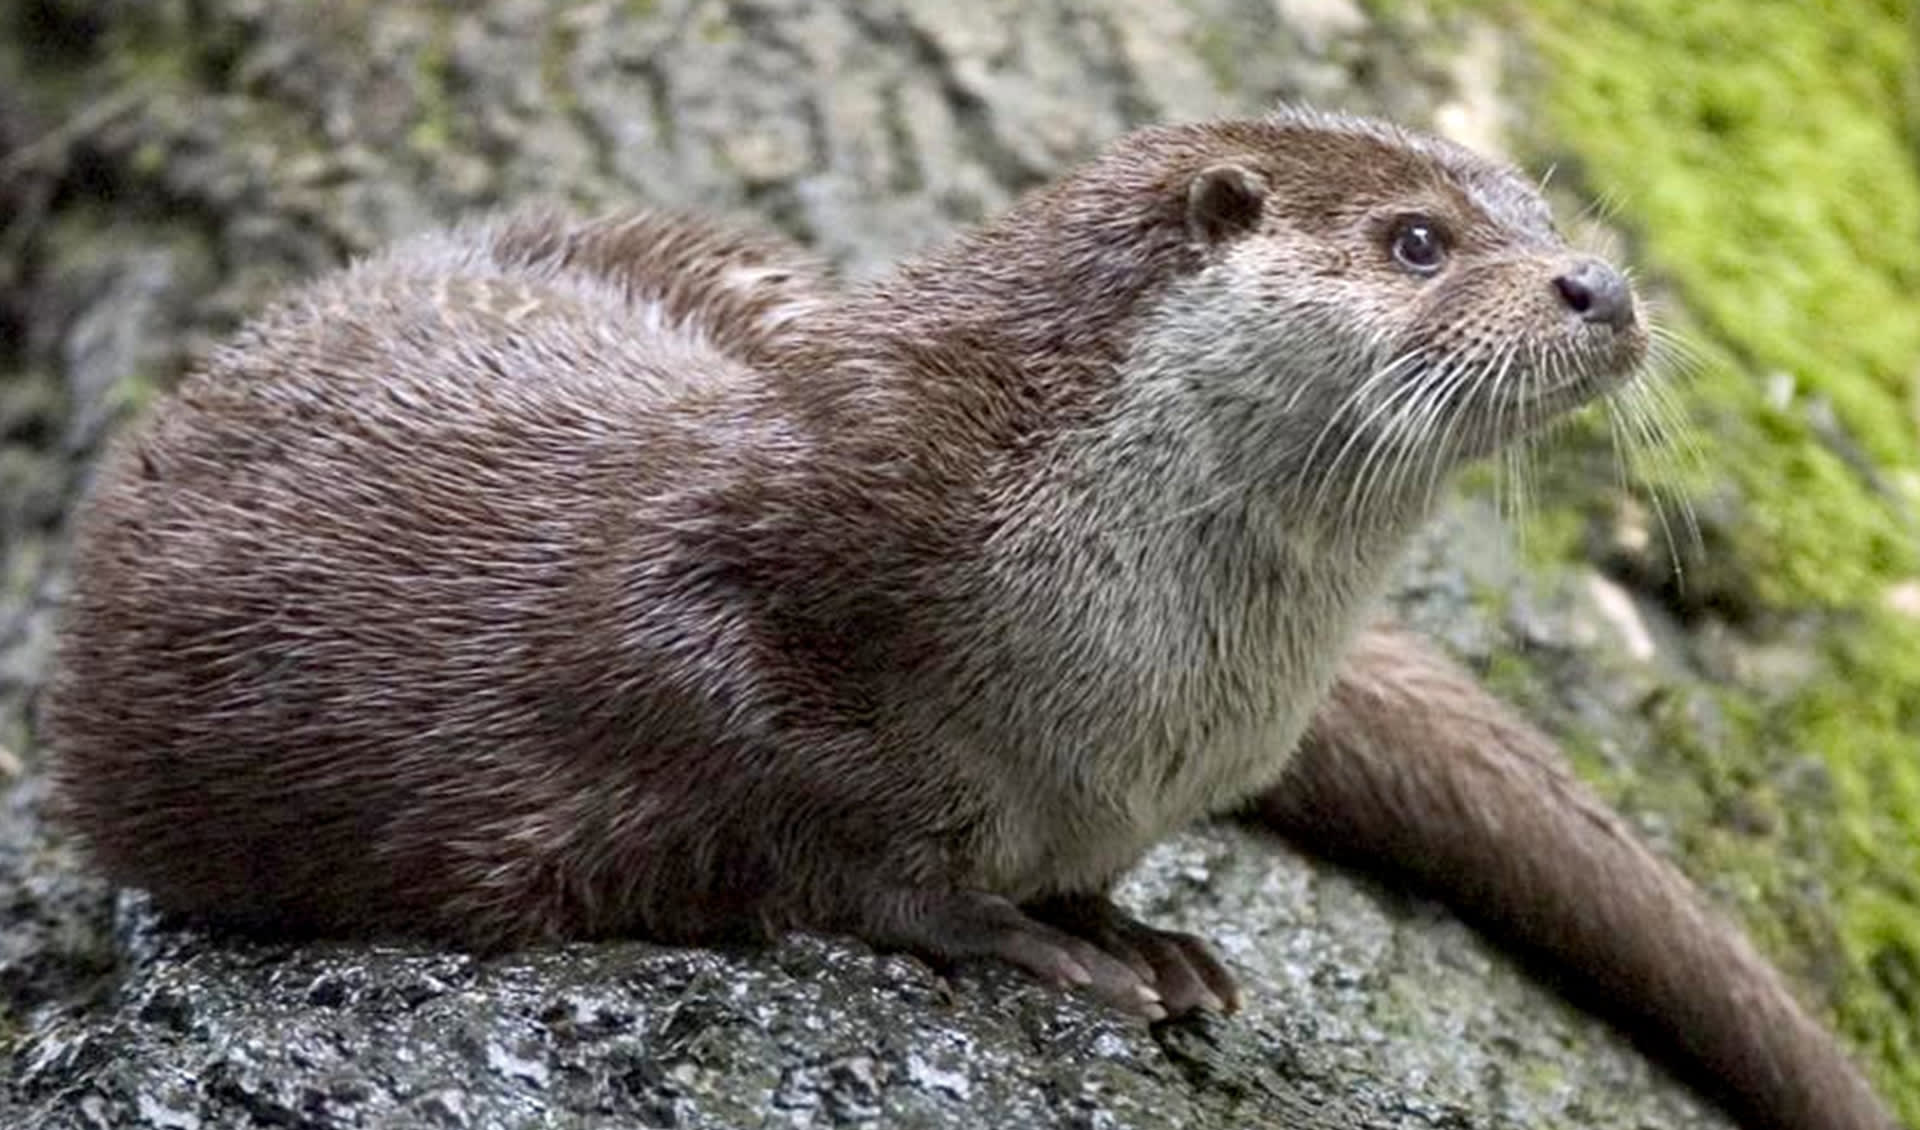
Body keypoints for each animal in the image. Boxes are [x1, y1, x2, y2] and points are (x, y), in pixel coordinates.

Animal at [45, 109, 1897, 1130]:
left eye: (1539, 209)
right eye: (1418, 240)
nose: (1602, 283)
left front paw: (1134, 927)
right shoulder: (745, 617)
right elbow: (813, 829)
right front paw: (1031, 940)